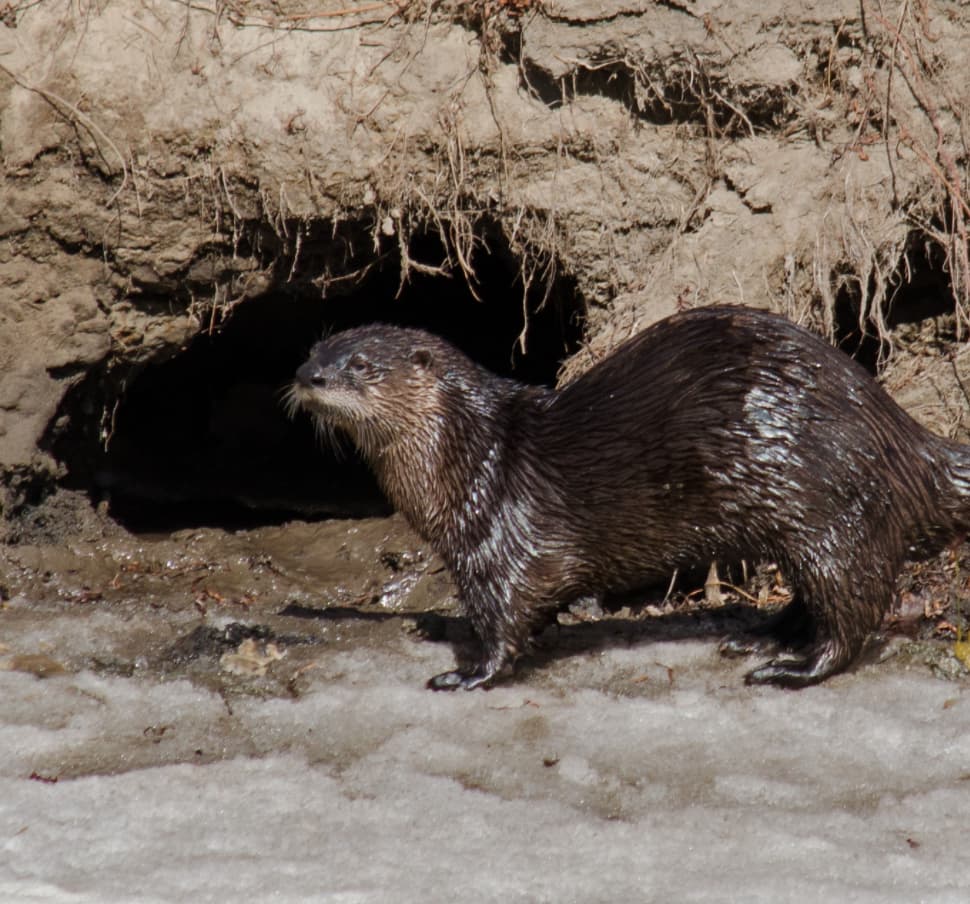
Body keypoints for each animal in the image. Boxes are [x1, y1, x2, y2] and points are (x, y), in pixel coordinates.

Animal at [290, 307, 970, 690]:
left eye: (360, 363)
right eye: (313, 349)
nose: (307, 376)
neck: (466, 459)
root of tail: (904, 440)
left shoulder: (502, 539)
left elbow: (509, 615)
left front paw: (467, 673)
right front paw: (437, 625)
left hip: (828, 507)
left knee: (854, 608)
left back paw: (790, 668)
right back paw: (761, 637)